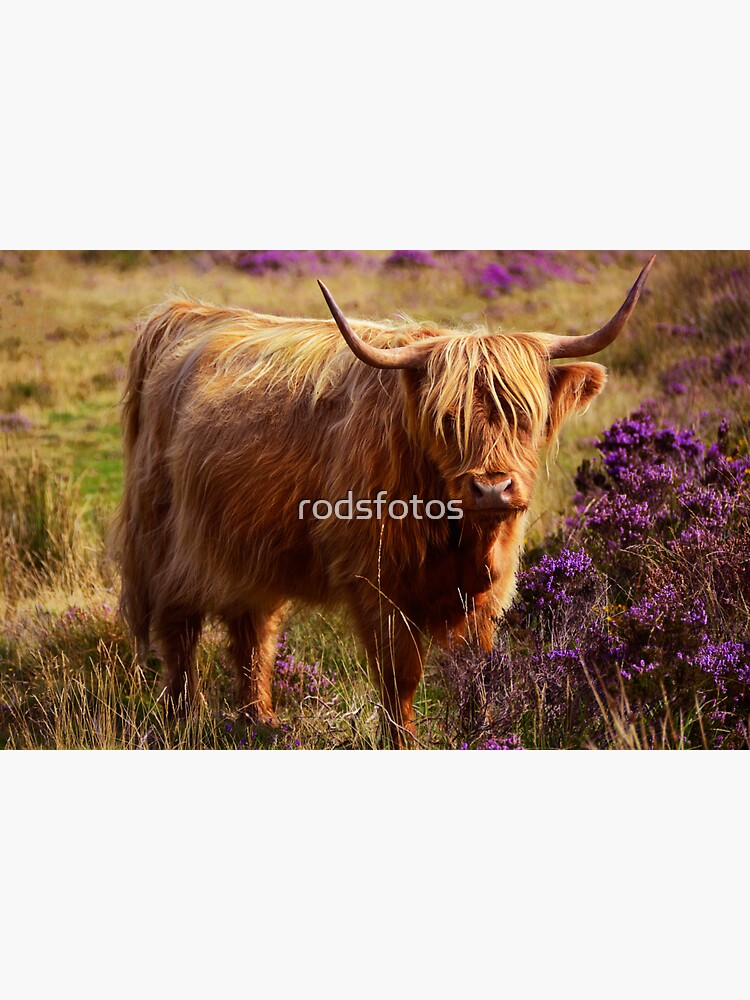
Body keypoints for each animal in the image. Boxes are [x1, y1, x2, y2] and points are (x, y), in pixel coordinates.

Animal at [115, 256, 654, 746]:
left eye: (523, 415)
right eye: (447, 419)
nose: (491, 489)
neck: (461, 538)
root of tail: (189, 313)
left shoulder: (487, 592)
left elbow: (479, 673)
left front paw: (480, 733)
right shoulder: (379, 584)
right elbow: (401, 676)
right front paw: (403, 741)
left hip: (250, 548)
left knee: (254, 628)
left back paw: (260, 720)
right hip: (166, 538)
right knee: (179, 625)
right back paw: (183, 717)